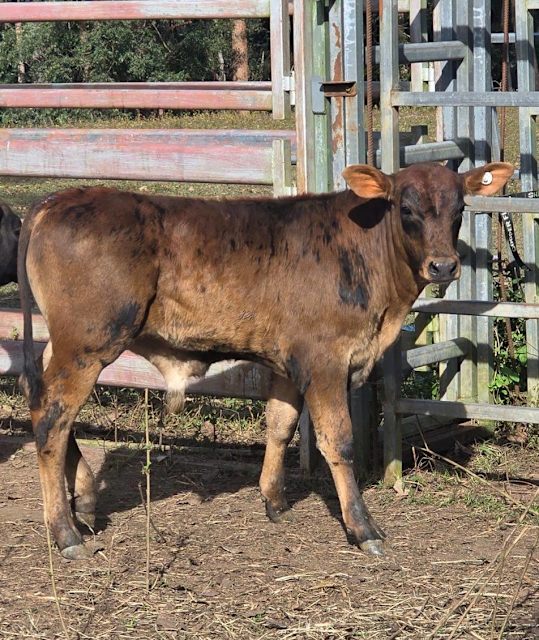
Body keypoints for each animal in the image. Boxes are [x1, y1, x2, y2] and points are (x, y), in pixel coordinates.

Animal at [18, 161, 513, 560]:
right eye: (406, 209)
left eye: (458, 209)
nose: (443, 266)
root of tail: (58, 199)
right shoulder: (326, 362)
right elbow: (339, 442)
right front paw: (363, 528)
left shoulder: (288, 363)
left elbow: (280, 426)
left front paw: (274, 501)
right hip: (86, 345)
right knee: (51, 419)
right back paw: (65, 534)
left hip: (64, 346)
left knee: (48, 406)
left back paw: (83, 504)